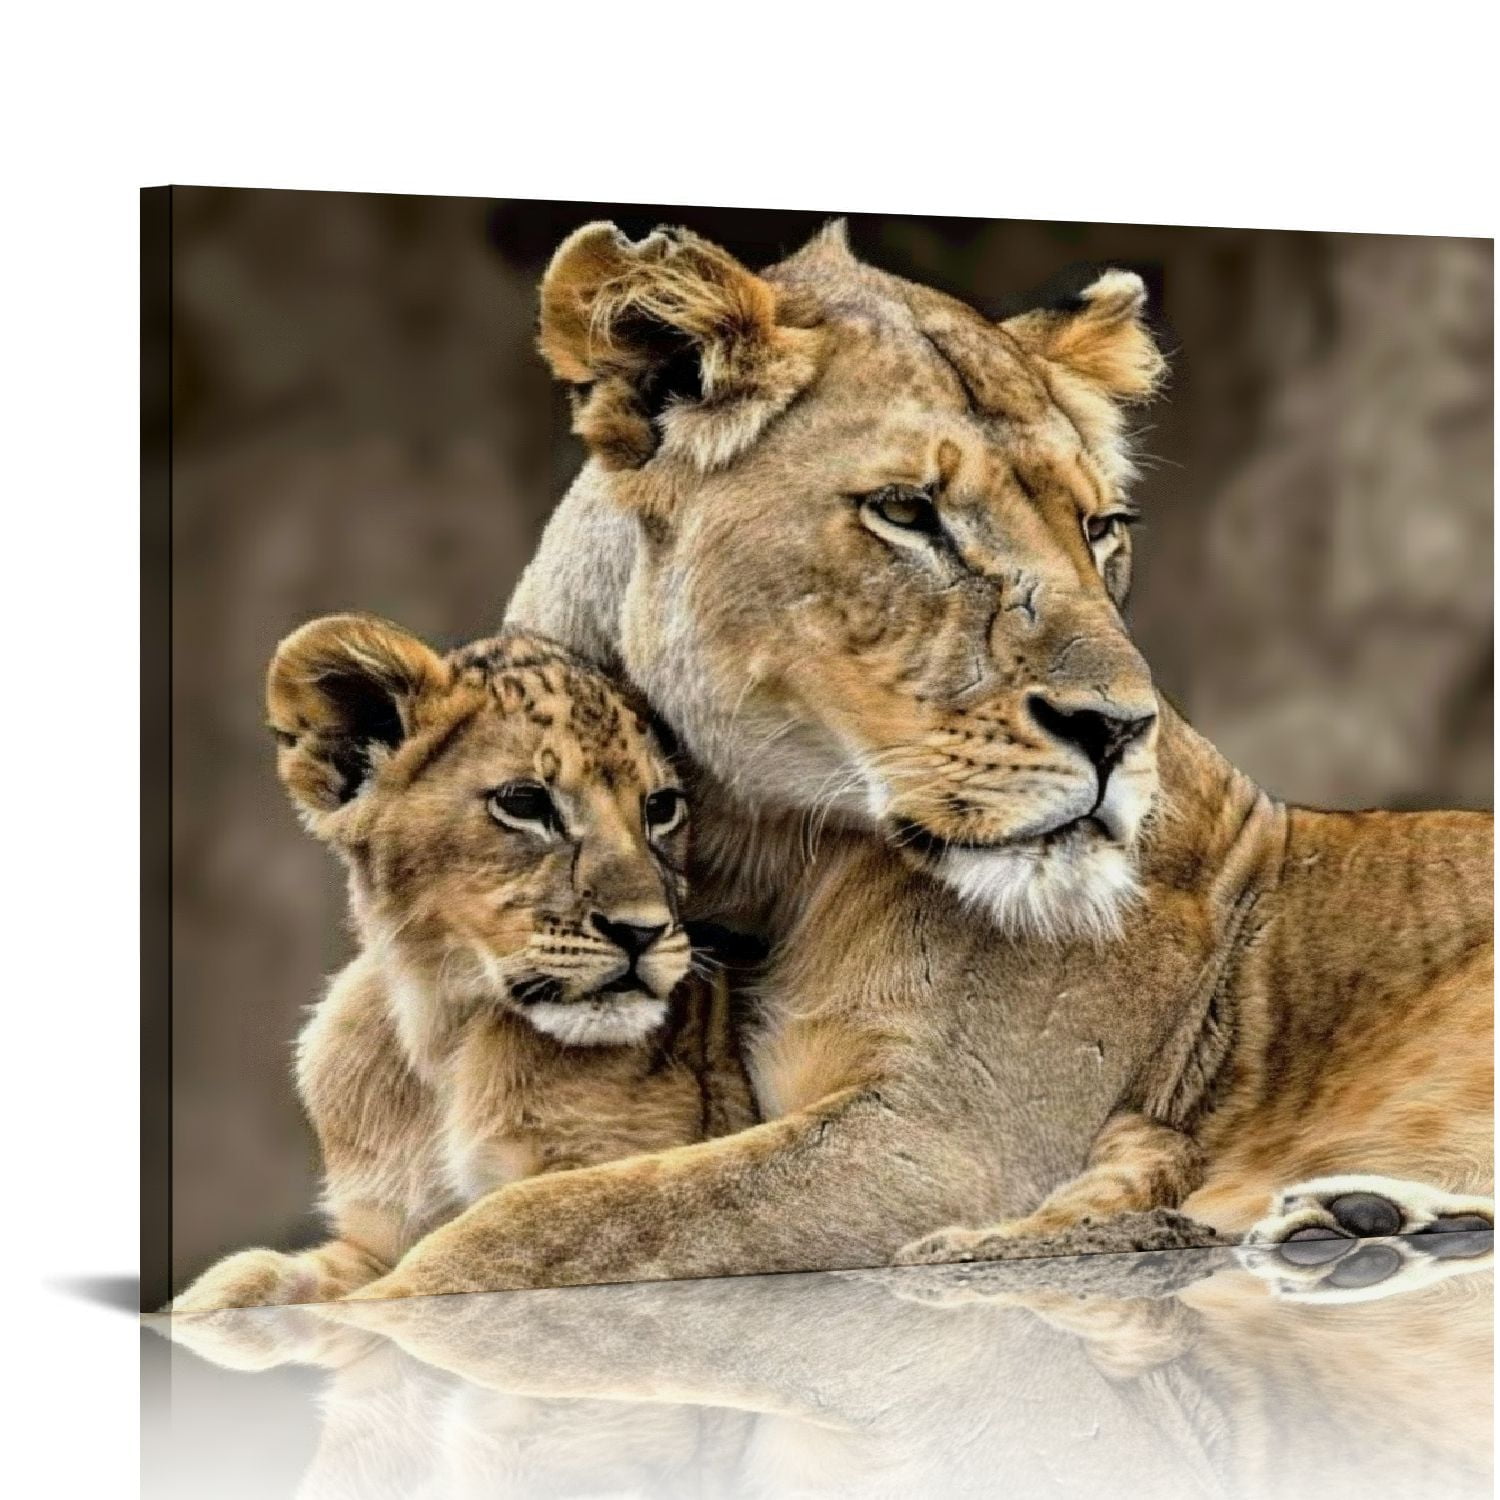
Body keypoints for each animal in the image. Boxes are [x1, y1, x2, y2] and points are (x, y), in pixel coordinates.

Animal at [171, 616, 755, 1311]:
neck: (441, 1036)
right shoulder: (378, 1235)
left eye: (661, 808)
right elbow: (262, 1276)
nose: (642, 931)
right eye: (525, 802)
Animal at [312, 220, 1489, 1303]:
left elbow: (525, 1232)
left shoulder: (941, 1143)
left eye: (1100, 526)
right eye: (907, 512)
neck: (756, 869)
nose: (1119, 728)